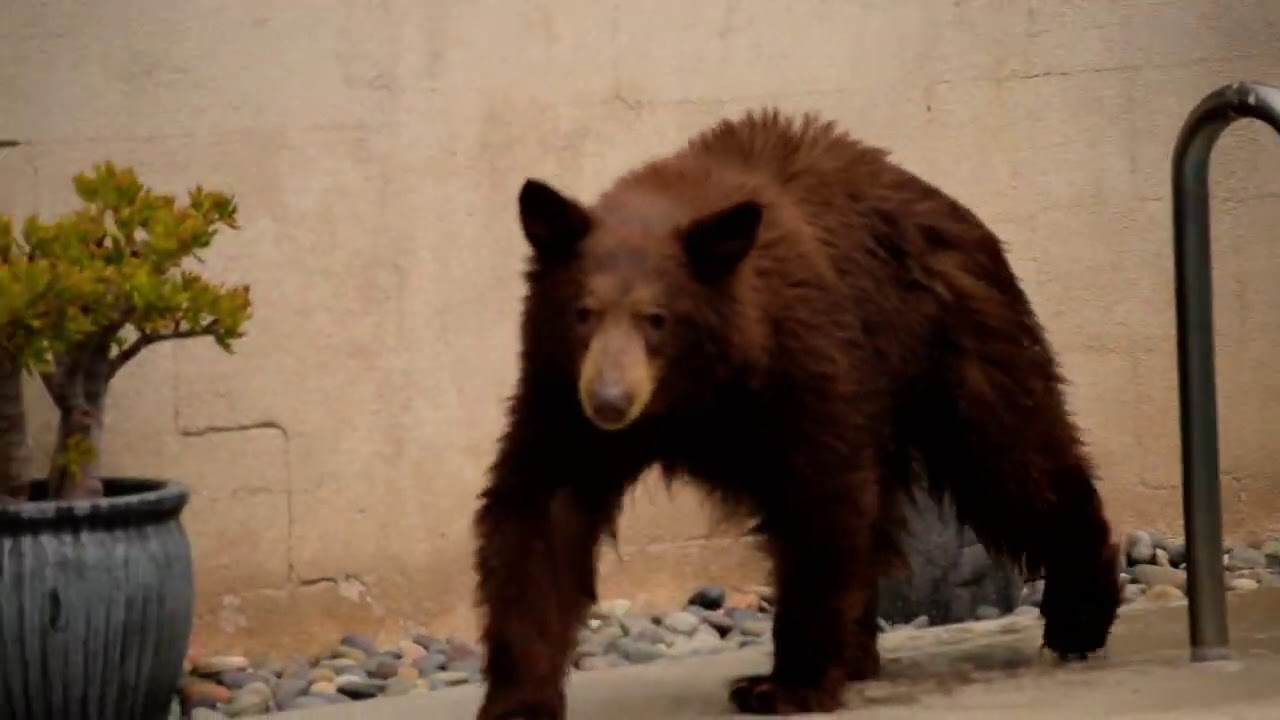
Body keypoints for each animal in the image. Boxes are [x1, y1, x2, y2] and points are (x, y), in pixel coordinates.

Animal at [472, 108, 1122, 719]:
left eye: (658, 319)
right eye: (582, 312)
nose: (609, 404)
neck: (693, 389)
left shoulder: (801, 360)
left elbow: (820, 495)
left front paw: (784, 685)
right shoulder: (559, 391)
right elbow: (541, 514)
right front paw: (519, 699)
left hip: (951, 336)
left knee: (1013, 457)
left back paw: (1079, 615)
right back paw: (858, 652)